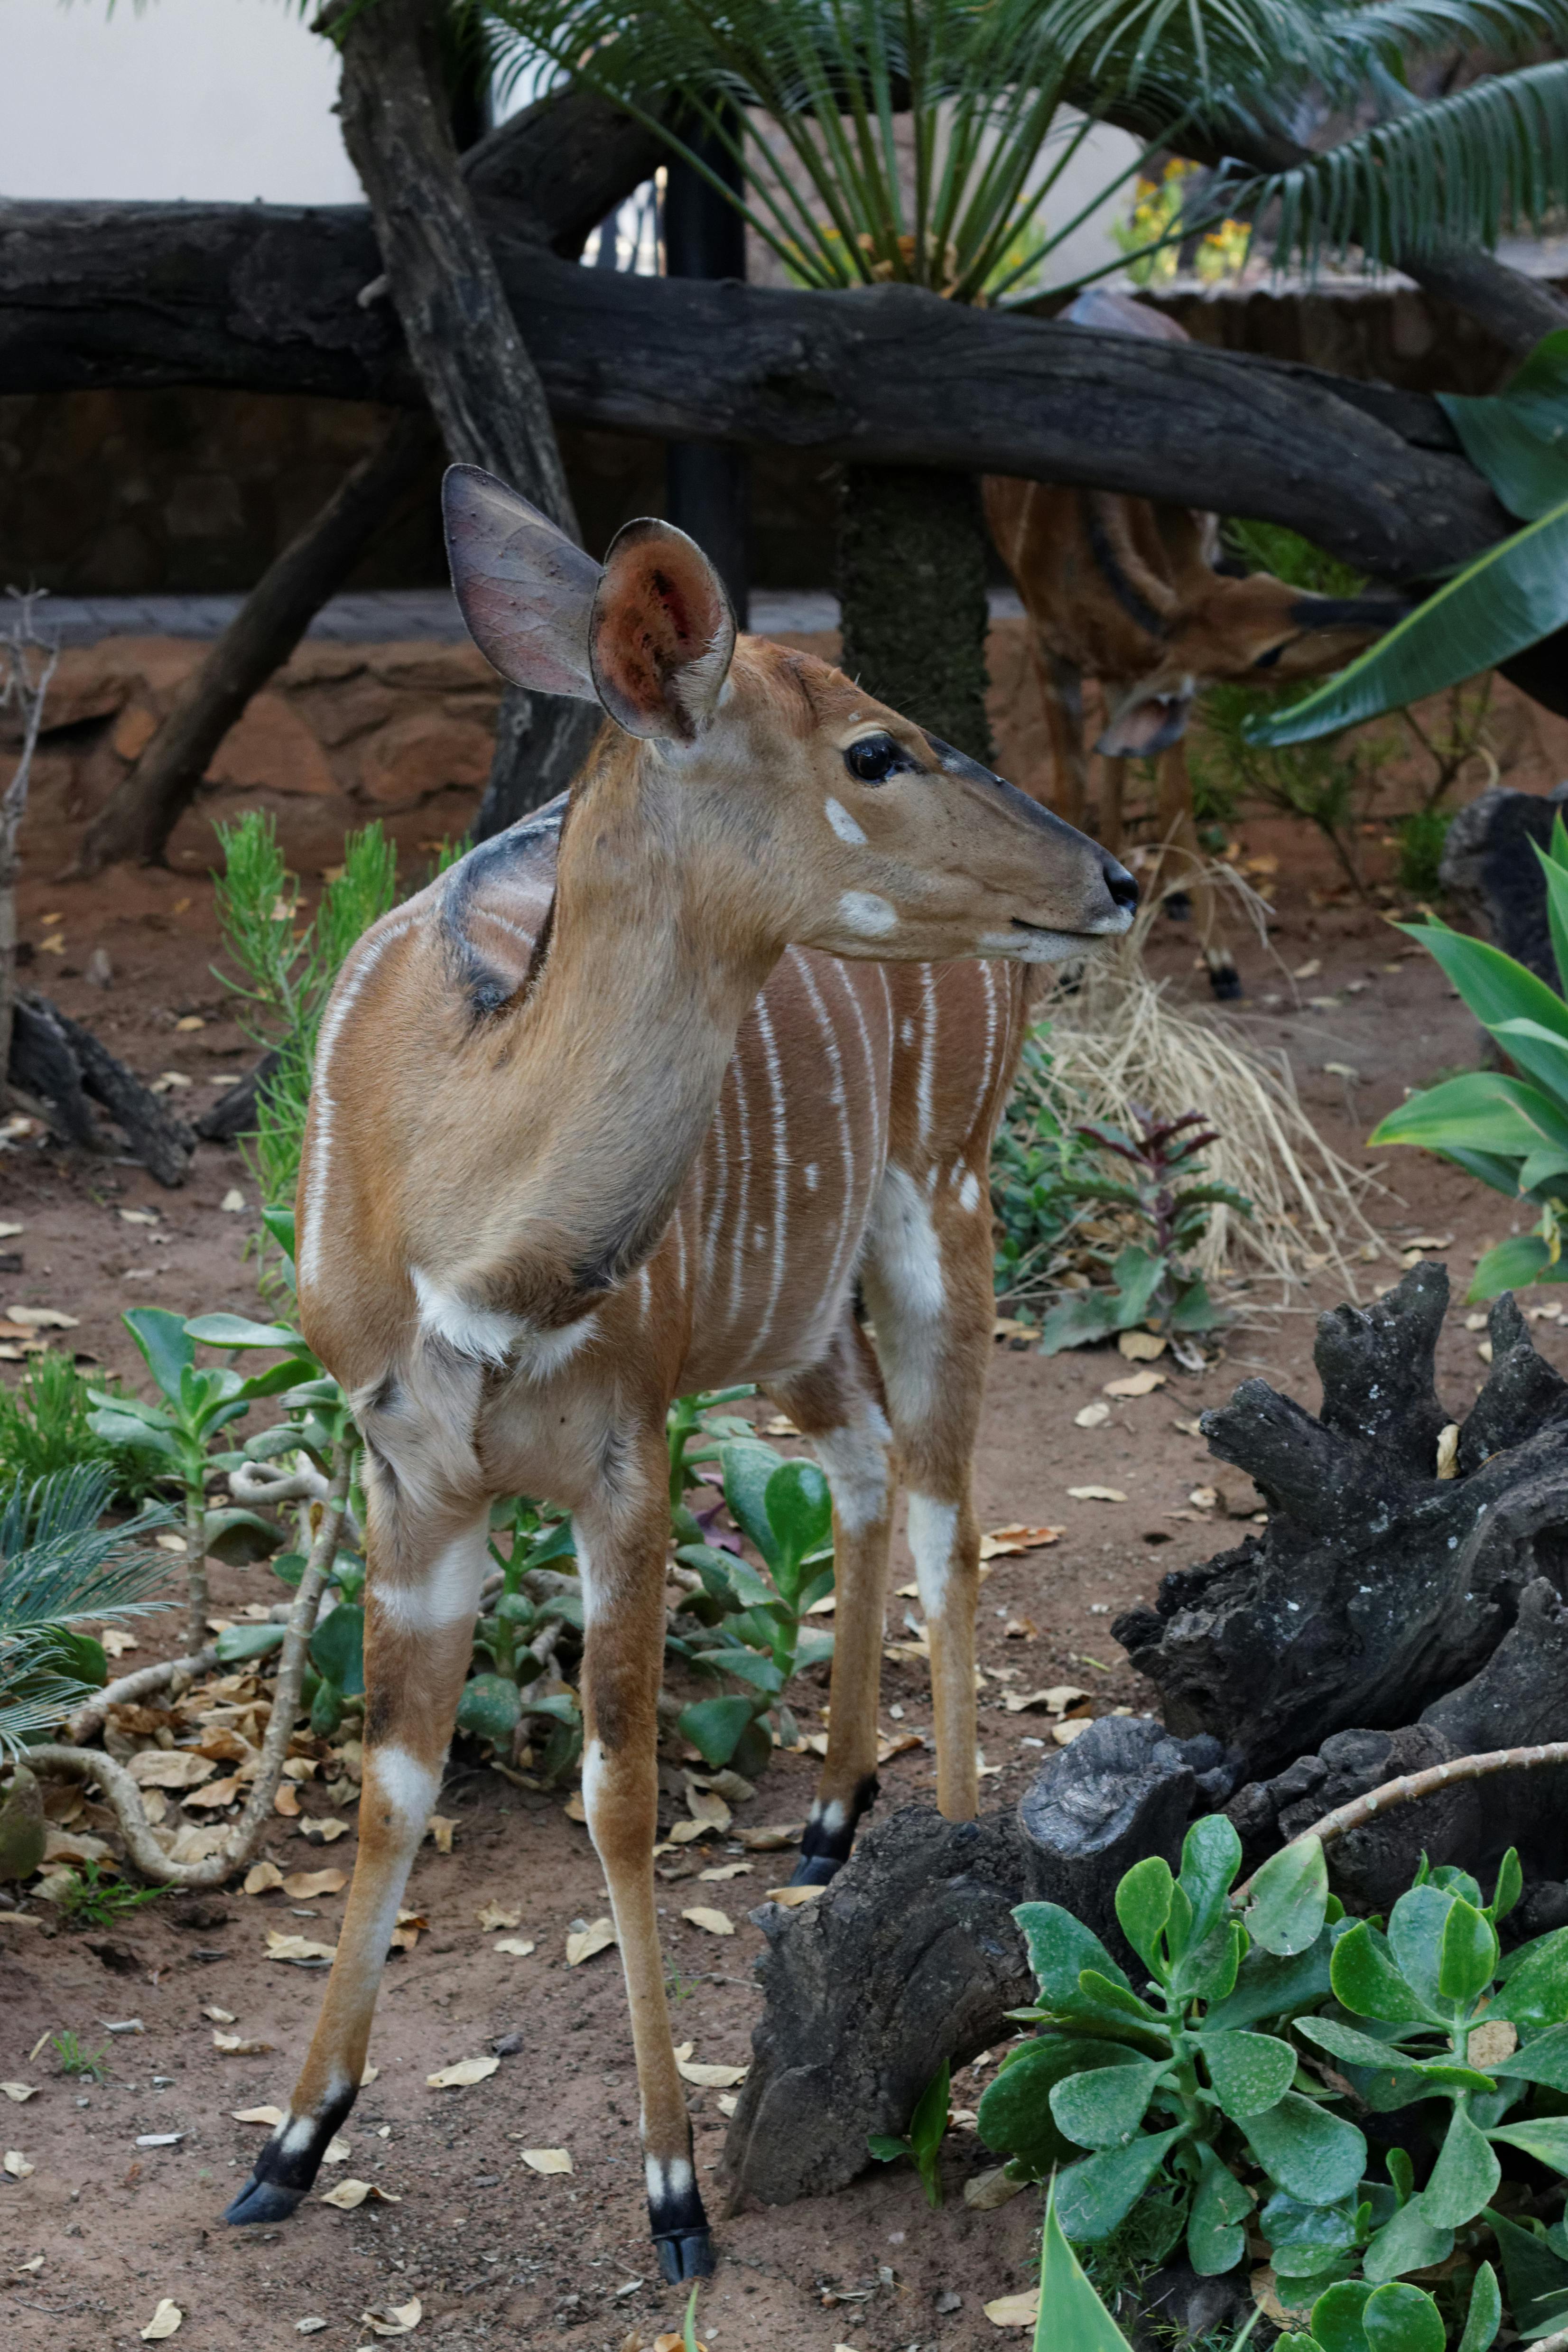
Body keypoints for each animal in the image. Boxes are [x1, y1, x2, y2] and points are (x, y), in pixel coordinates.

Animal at [222, 465, 1136, 2281]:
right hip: (792, 1320)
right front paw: (290, 2141)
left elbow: (618, 1785)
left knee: (949, 1514)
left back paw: (947, 1838)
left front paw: (673, 2189)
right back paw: (837, 1812)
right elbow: (390, 1779)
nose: (1110, 875)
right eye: (876, 749)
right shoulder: (410, 1477)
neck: (459, 1211)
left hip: (942, 1196)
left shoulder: (622, 1460)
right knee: (866, 1470)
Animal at [985, 288, 1407, 996]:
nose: (1393, 609)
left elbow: (1173, 793)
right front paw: (1072, 968)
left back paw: (1167, 891)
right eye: (1268, 654)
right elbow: (1071, 781)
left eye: (1273, 581)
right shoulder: (1051, 651)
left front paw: (1220, 960)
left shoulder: (1150, 660)